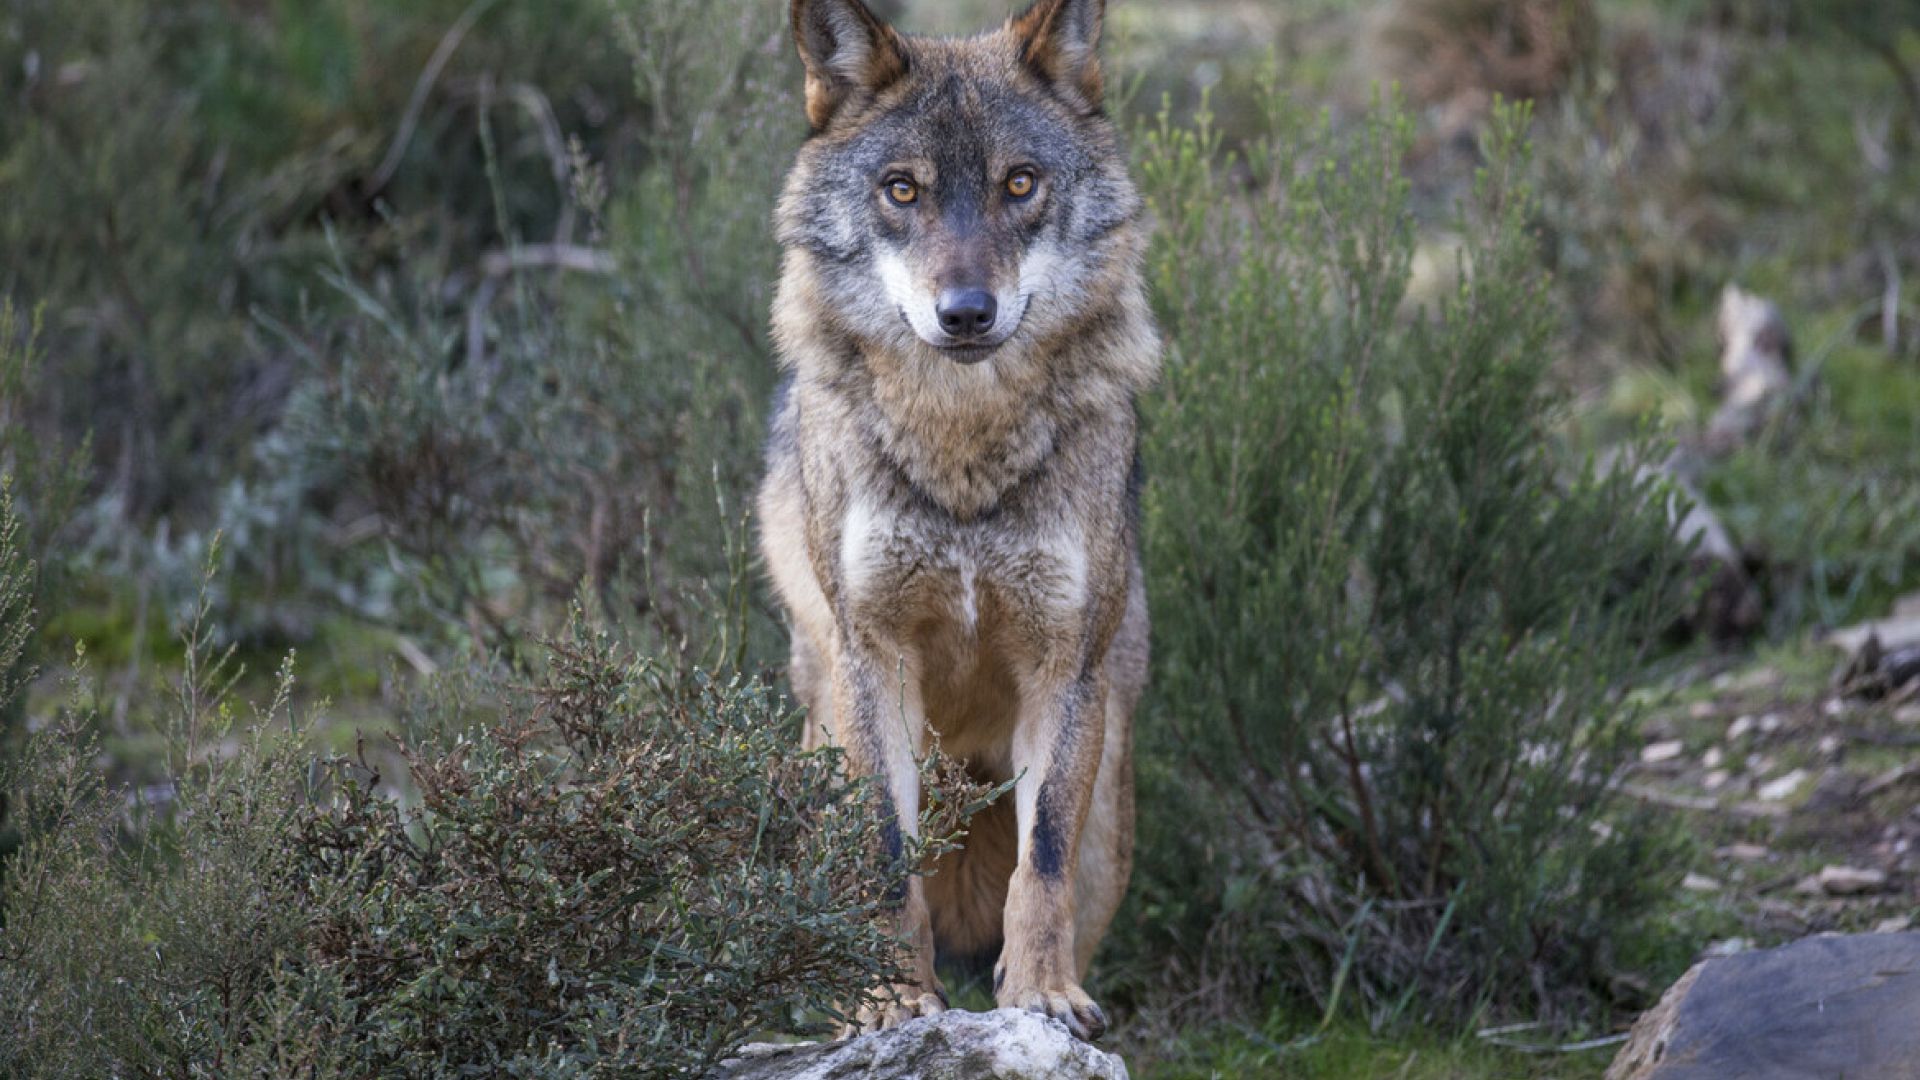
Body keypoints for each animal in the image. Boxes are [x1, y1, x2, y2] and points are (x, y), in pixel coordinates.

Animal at [757, 0, 1158, 1041]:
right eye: (902, 189)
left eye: (1020, 183)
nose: (967, 313)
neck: (964, 453)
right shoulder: (873, 659)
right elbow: (886, 860)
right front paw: (894, 1002)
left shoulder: (1067, 666)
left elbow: (1041, 859)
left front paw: (1043, 997)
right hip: (814, 752)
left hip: (1112, 793)